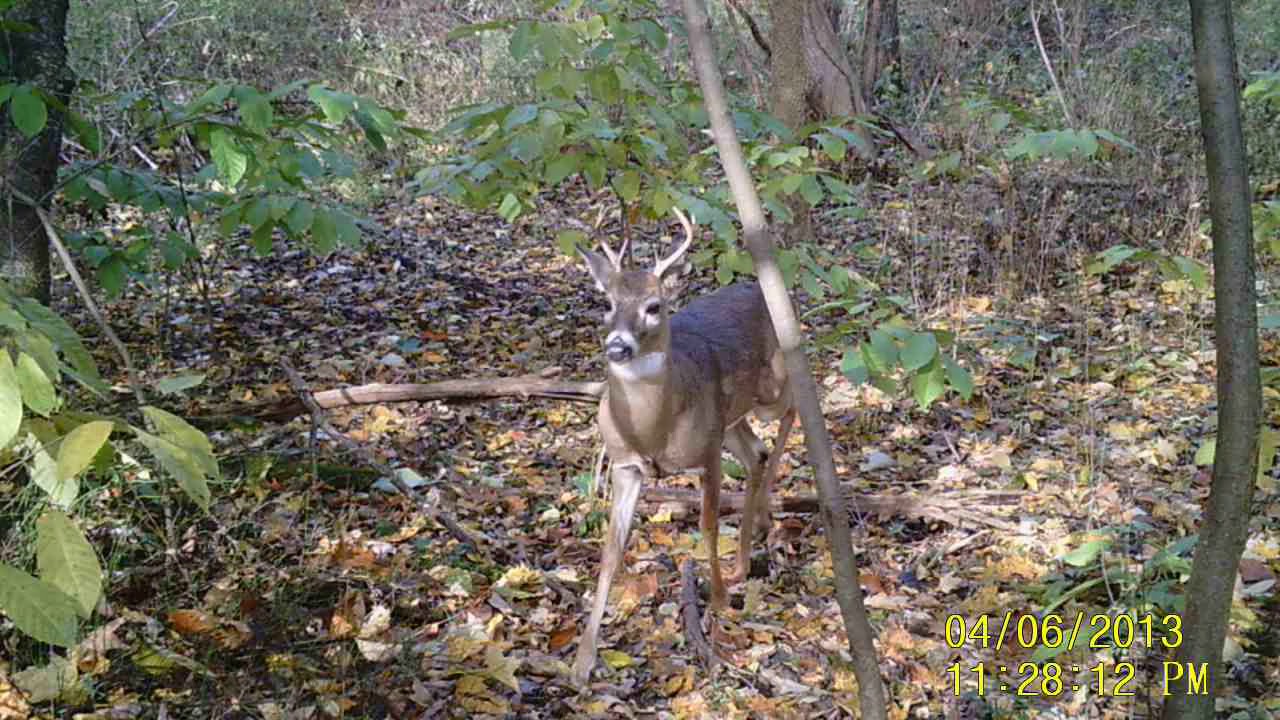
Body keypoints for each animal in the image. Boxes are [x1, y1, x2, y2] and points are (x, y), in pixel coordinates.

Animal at [571, 207, 797, 685]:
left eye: (654, 307)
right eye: (607, 303)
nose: (618, 346)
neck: (652, 431)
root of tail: (756, 287)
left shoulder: (706, 451)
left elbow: (708, 525)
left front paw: (718, 599)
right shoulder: (625, 465)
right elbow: (612, 549)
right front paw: (581, 662)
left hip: (770, 386)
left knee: (797, 406)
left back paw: (761, 524)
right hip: (730, 417)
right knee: (756, 451)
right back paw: (744, 557)